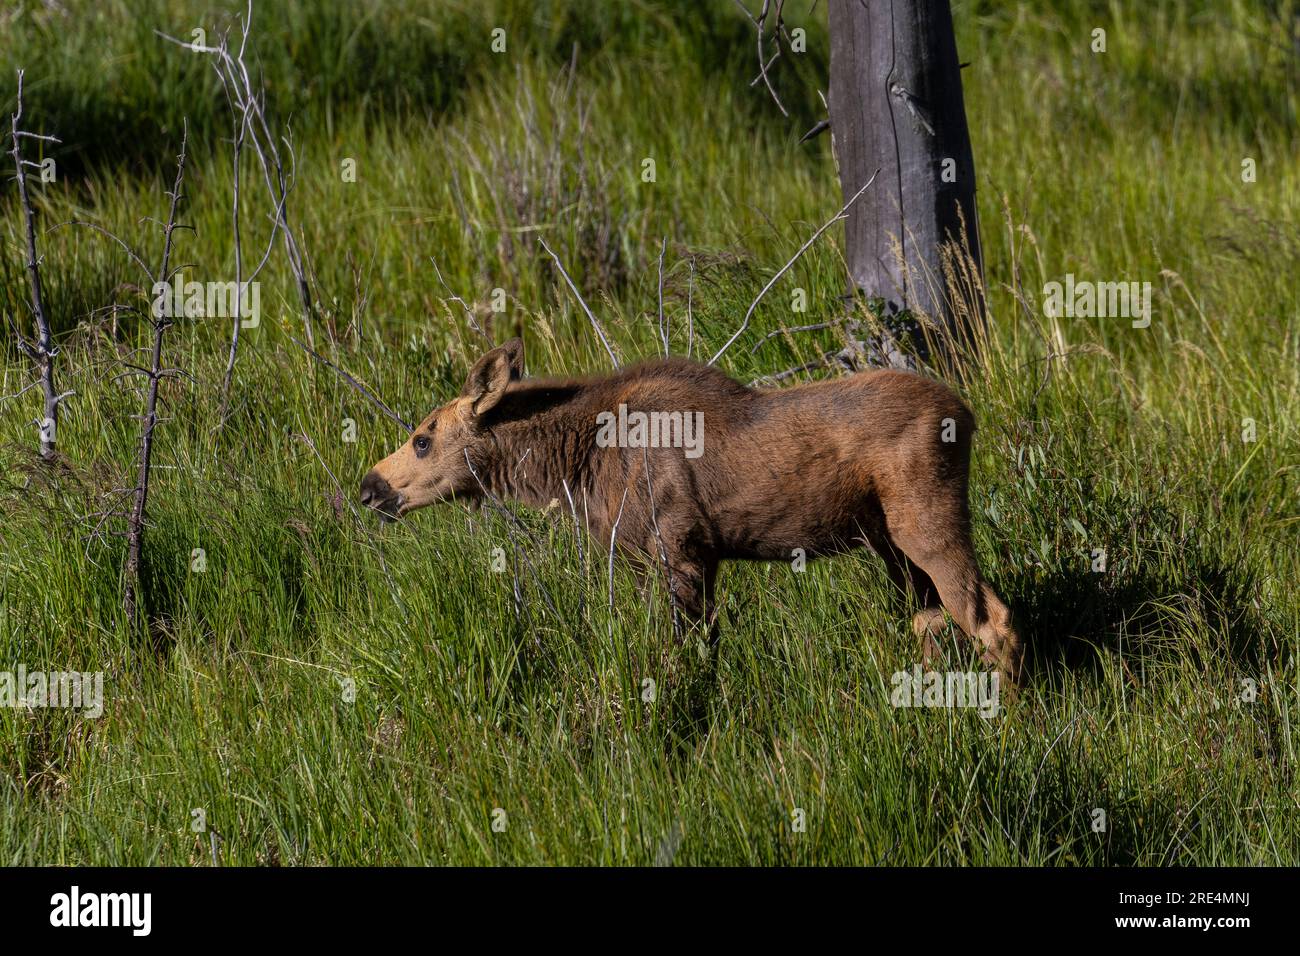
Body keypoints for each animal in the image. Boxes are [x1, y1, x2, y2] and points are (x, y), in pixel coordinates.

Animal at [360, 338, 1022, 685]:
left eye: (423, 438)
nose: (369, 487)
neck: (575, 465)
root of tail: (967, 413)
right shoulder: (681, 559)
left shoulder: (677, 550)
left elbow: (678, 659)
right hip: (891, 544)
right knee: (934, 621)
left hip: (927, 522)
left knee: (992, 619)